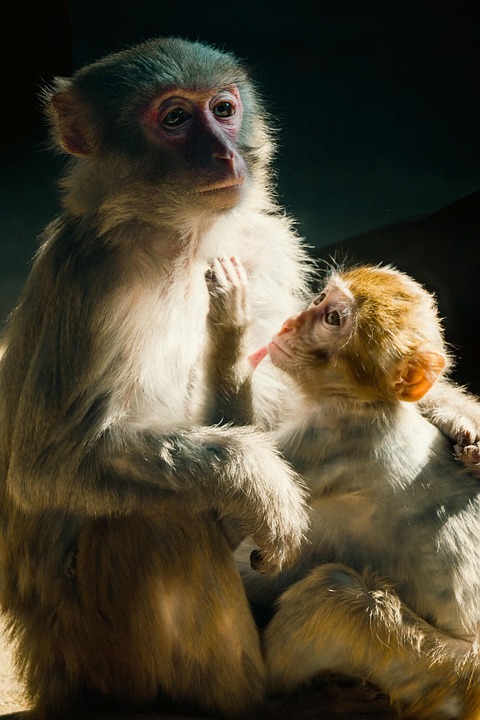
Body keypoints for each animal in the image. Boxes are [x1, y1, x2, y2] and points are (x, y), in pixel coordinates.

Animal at [205, 258, 480, 719]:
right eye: (320, 300)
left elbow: (223, 514)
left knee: (335, 594)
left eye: (333, 319)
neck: (364, 402)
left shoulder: (325, 442)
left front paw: (230, 321)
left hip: (442, 673)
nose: (291, 323)